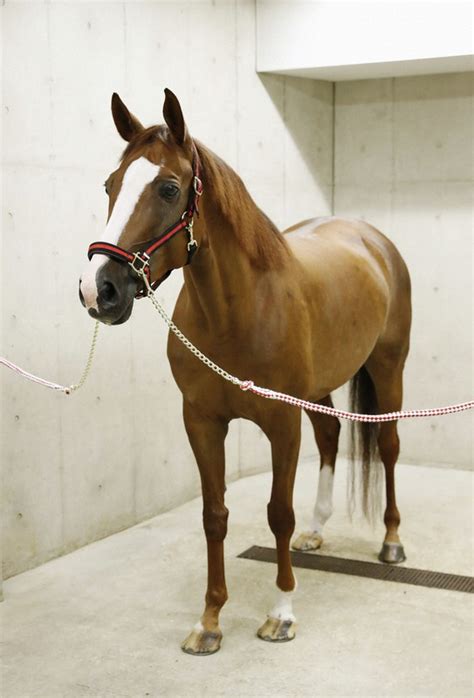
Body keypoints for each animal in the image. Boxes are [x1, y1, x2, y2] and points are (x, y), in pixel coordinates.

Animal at [79, 89, 411, 655]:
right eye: (110, 185)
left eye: (169, 188)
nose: (98, 289)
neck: (239, 311)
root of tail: (372, 239)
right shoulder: (201, 421)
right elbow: (215, 516)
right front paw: (210, 620)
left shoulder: (282, 423)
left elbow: (278, 513)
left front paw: (281, 612)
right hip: (319, 390)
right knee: (330, 436)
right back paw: (317, 531)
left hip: (388, 369)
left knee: (387, 447)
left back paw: (391, 541)